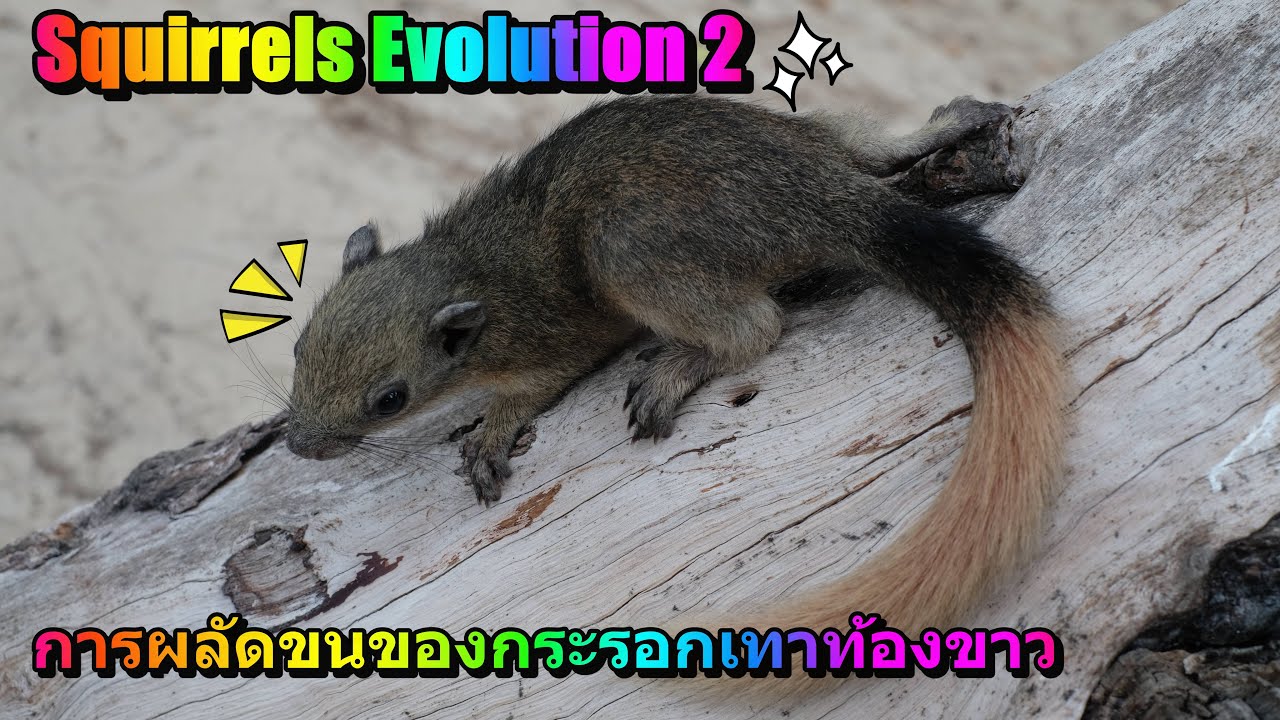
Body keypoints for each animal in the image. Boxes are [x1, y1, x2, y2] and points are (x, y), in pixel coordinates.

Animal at [285, 94, 1064, 633]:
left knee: (756, 327)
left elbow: (525, 394)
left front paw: (490, 434)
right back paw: (941, 125)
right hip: (801, 135)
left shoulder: (547, 344)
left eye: (389, 399)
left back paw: (675, 371)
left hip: (626, 250)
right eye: (296, 347)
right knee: (865, 145)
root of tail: (820, 197)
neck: (465, 267)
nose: (296, 445)